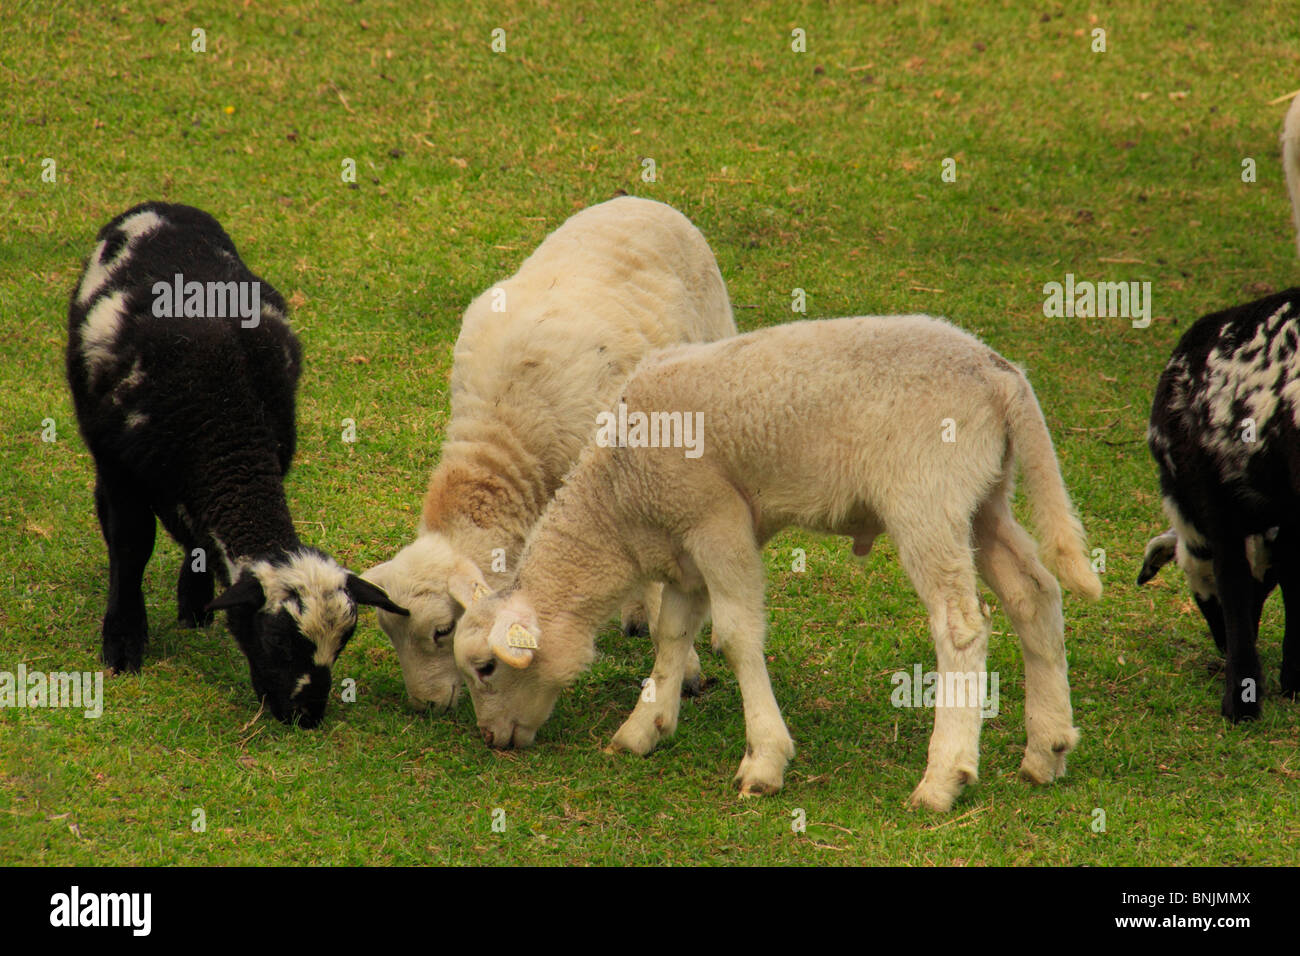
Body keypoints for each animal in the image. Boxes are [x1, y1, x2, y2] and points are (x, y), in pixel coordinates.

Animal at [66, 201, 408, 728]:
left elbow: (201, 543)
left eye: (342, 645)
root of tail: (164, 205)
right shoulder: (121, 470)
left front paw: (197, 604)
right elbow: (130, 547)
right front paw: (123, 642)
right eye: (279, 642)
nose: (307, 716)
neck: (224, 419)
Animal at [362, 196, 736, 711]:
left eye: (441, 631)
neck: (505, 433)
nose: (427, 706)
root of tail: (639, 200)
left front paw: (686, 669)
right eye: (390, 633)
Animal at [452, 314, 1102, 812]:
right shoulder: (684, 544)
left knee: (961, 628)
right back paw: (1046, 749)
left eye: (486, 667)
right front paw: (645, 727)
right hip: (983, 498)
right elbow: (672, 635)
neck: (618, 497)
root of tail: (998, 372)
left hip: (926, 497)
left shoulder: (717, 522)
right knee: (1034, 594)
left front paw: (763, 761)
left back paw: (943, 778)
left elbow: (738, 637)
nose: (492, 740)